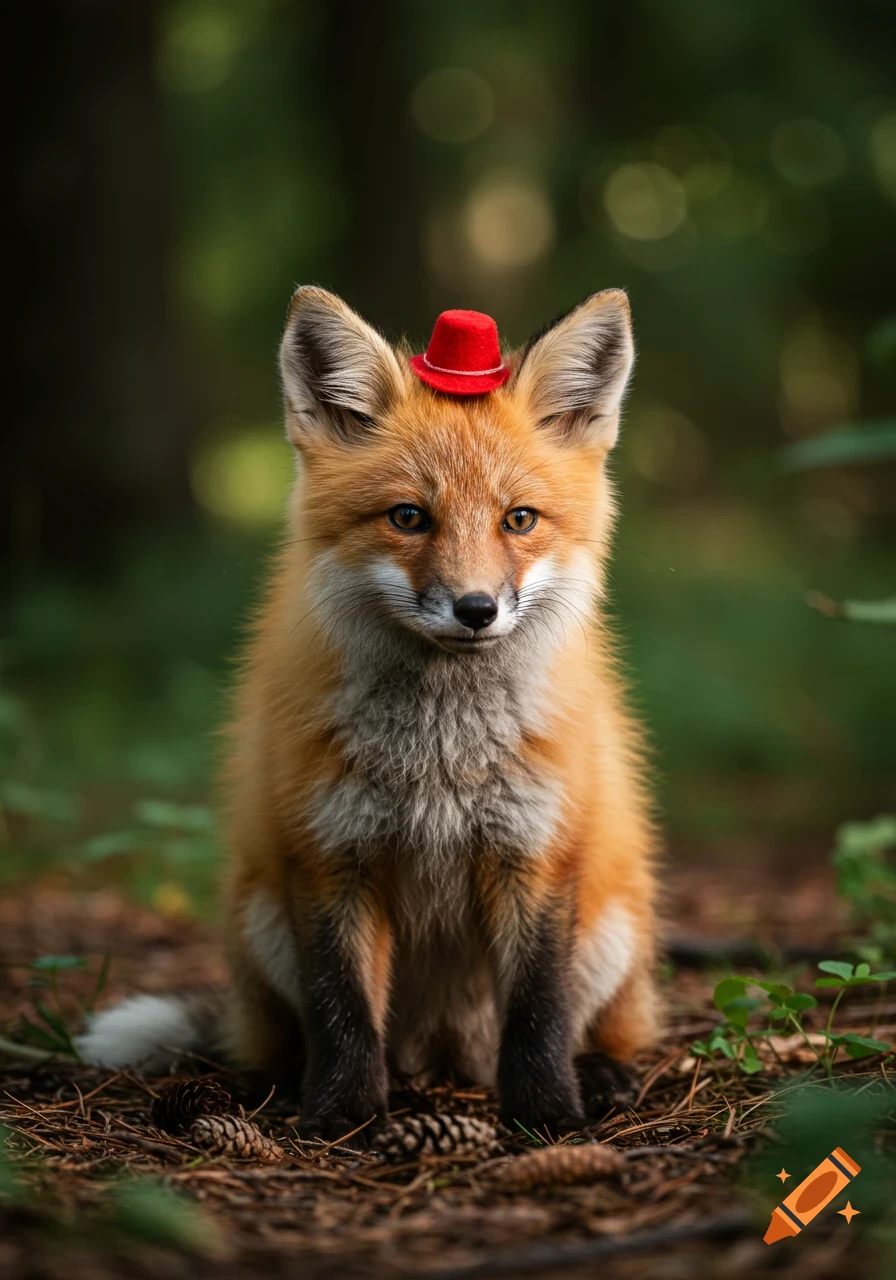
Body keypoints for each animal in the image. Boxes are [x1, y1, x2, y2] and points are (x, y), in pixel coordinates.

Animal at [79, 285, 659, 1137]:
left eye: (519, 519)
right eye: (408, 517)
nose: (476, 609)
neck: (441, 759)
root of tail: (440, 1058)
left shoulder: (536, 853)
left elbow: (539, 1010)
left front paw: (548, 1117)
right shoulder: (330, 855)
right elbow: (342, 1009)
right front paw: (341, 1118)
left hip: (610, 927)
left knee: (590, 1026)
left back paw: (603, 1074)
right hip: (261, 917)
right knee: (284, 1040)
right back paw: (274, 1088)